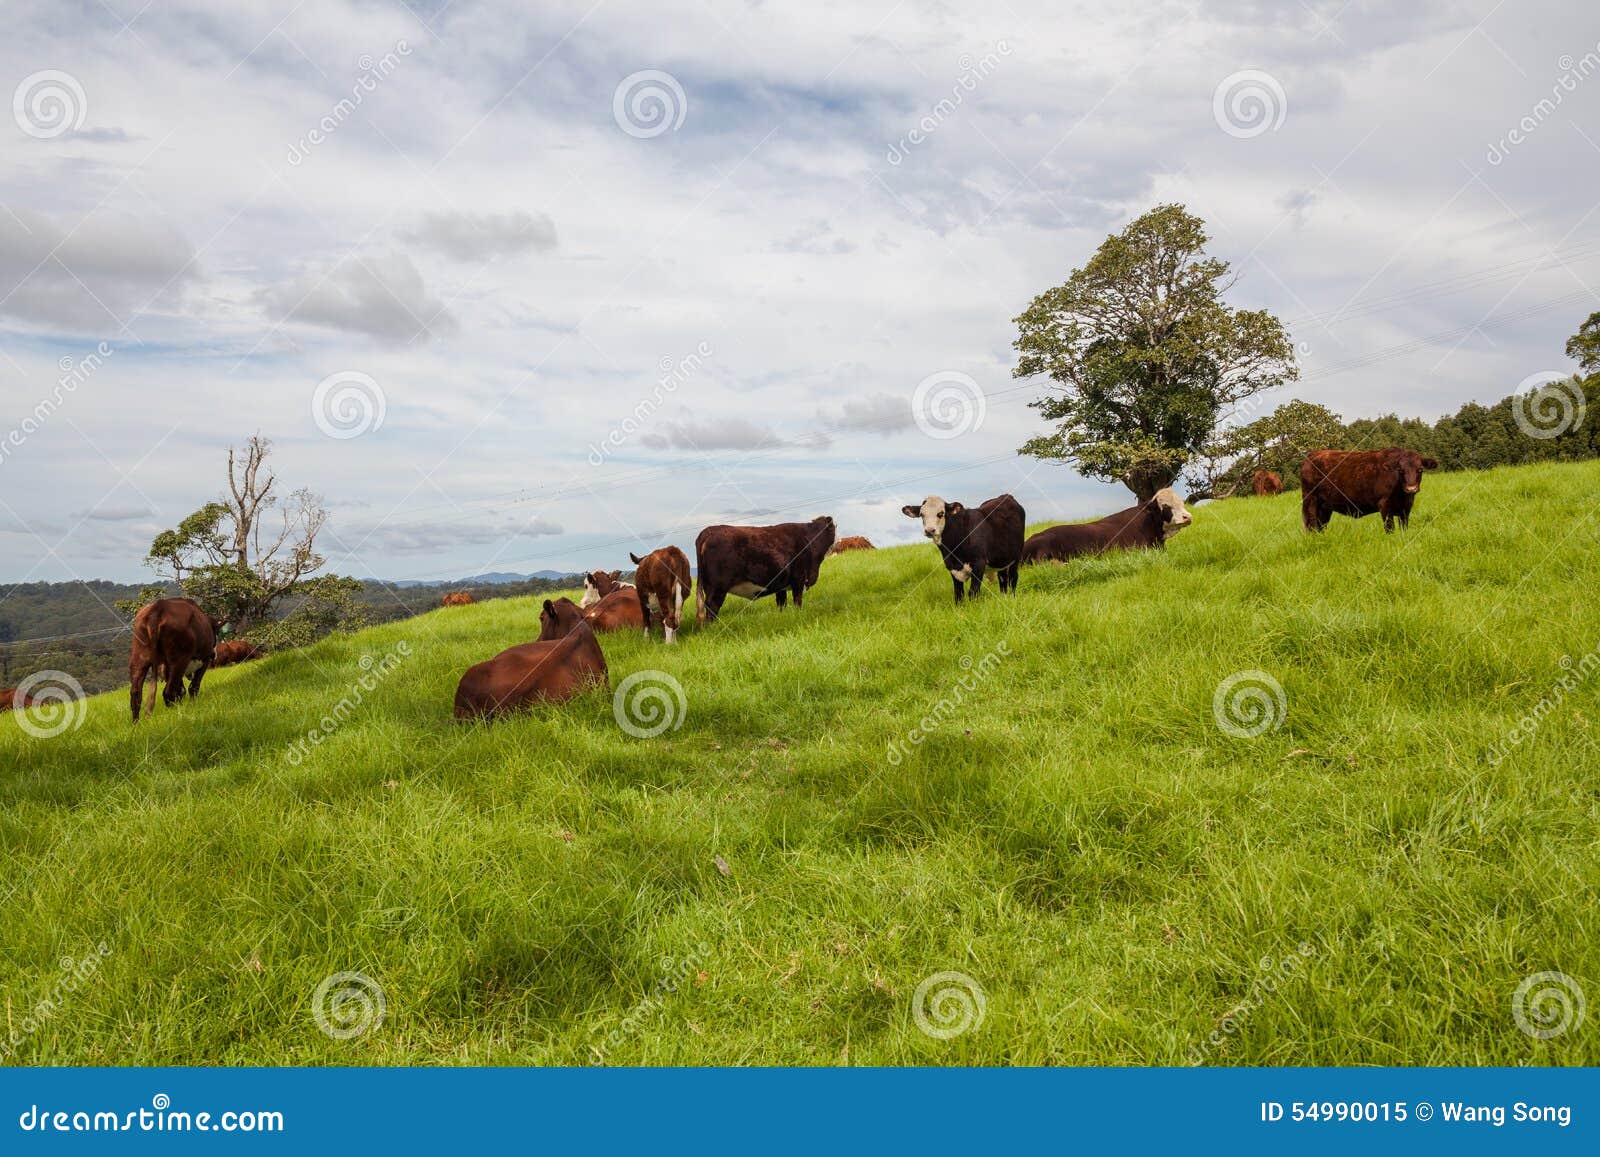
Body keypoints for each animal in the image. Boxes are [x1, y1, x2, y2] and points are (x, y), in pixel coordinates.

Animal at [695, 516, 836, 624]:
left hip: (709, 586)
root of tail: (708, 531)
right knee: (712, 607)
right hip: (718, 588)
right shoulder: (798, 578)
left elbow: (781, 603)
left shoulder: (781, 585)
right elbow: (797, 601)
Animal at [1300, 448, 1439, 533]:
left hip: (1325, 507)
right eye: (1400, 470)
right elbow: (1390, 529)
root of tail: (1312, 454)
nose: (1411, 488)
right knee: (1311, 525)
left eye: (1420, 469)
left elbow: (1404, 528)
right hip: (1310, 500)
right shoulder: (1384, 505)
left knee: (1321, 526)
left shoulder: (1405, 509)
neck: (1402, 496)